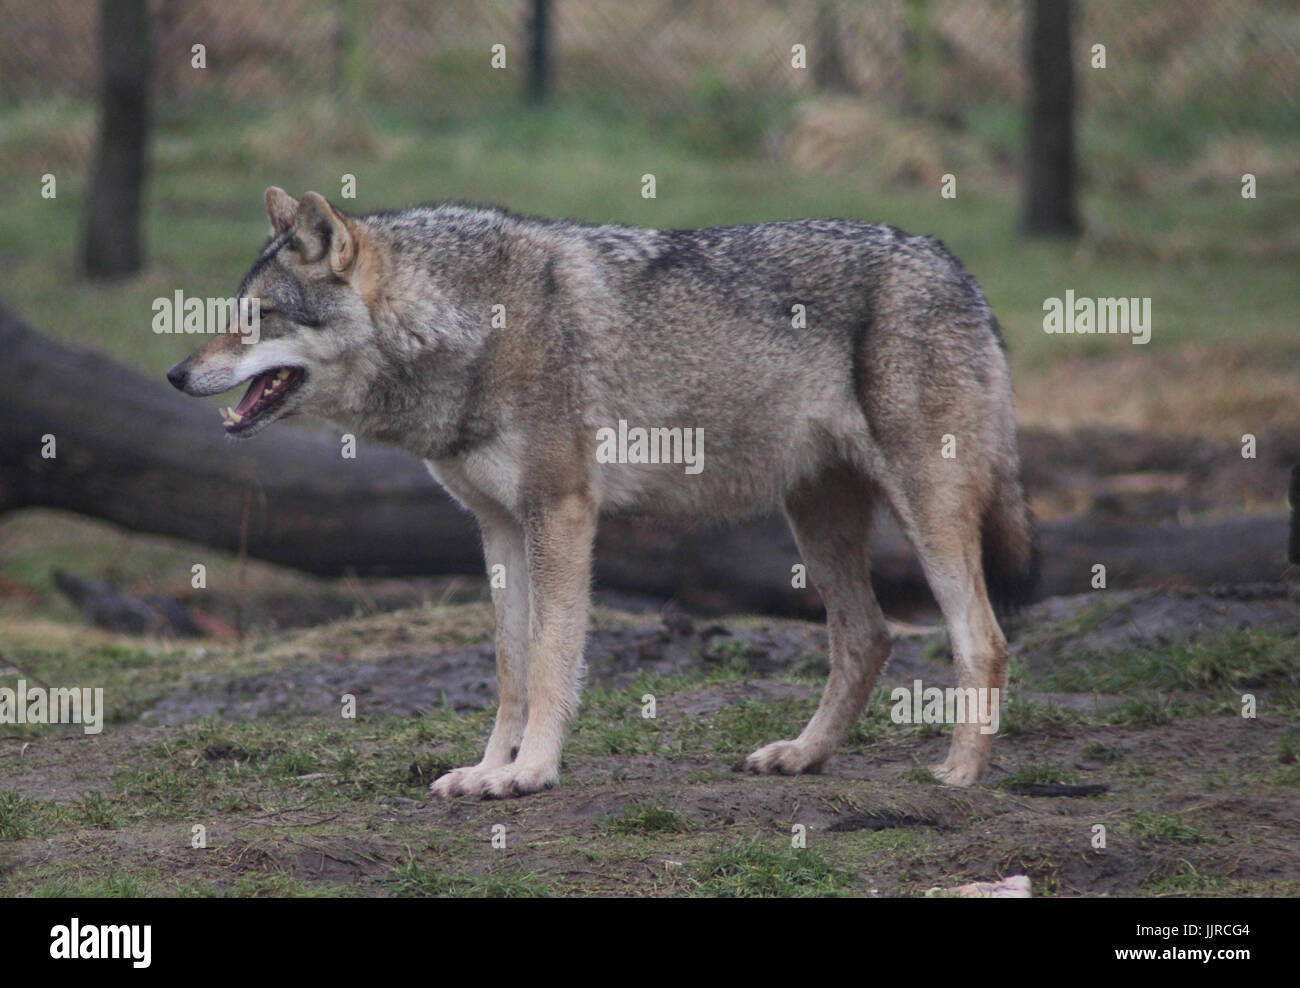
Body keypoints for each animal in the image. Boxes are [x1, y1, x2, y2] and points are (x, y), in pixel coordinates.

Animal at [167, 188, 1036, 799]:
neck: (469, 328)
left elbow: (552, 659)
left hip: (926, 513)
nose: (176, 374)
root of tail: (957, 266)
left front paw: (530, 774)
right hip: (817, 519)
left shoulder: (560, 515)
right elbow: (510, 667)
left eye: (261, 315)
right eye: (233, 312)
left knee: (983, 639)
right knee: (869, 637)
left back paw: (959, 774)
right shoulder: (497, 527)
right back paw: (803, 755)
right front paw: (488, 769)